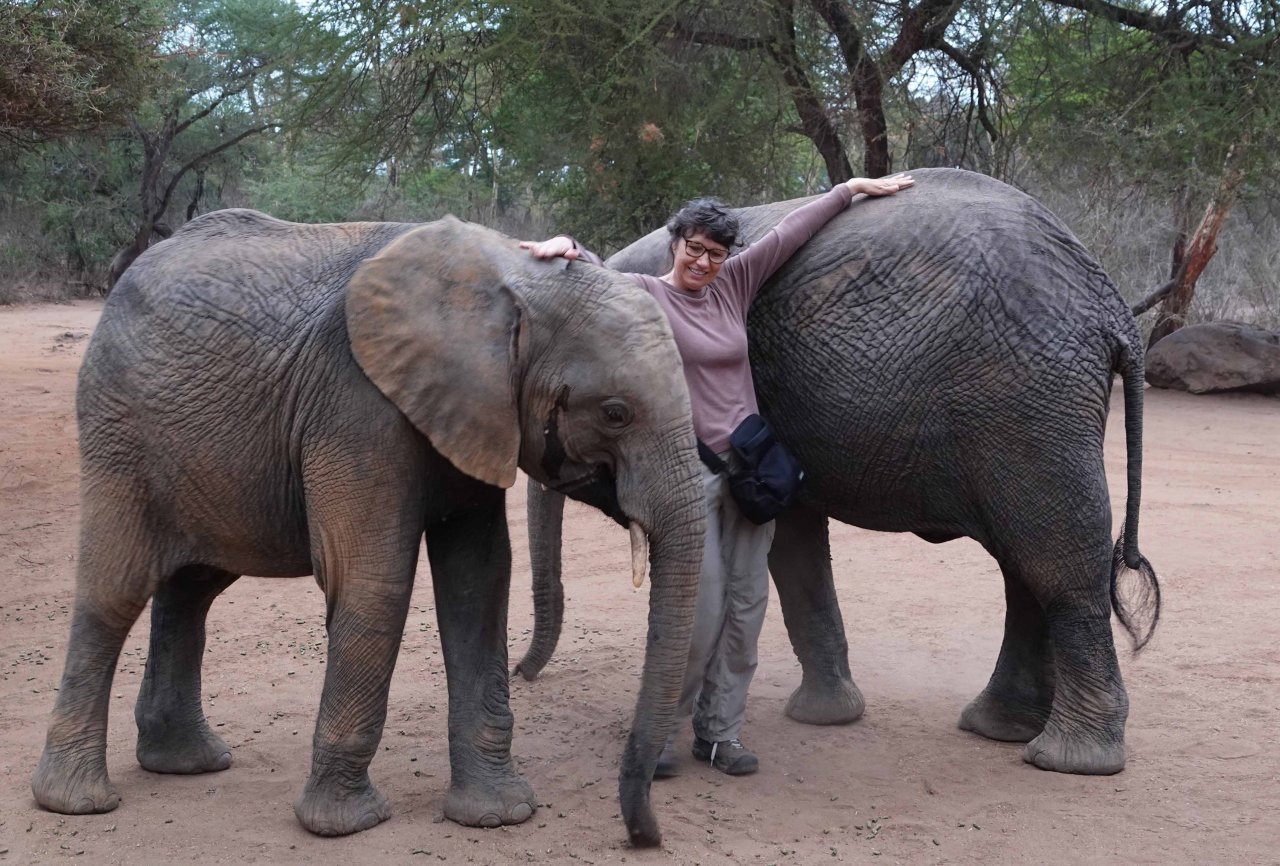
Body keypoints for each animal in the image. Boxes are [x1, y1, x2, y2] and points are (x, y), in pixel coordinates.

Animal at [31, 208, 705, 847]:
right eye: (615, 413)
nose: (644, 837)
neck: (511, 284)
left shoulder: (469, 411)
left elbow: (479, 583)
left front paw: (499, 816)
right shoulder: (356, 401)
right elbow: (371, 580)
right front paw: (345, 825)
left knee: (192, 589)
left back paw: (187, 764)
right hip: (119, 429)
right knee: (114, 592)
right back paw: (76, 801)